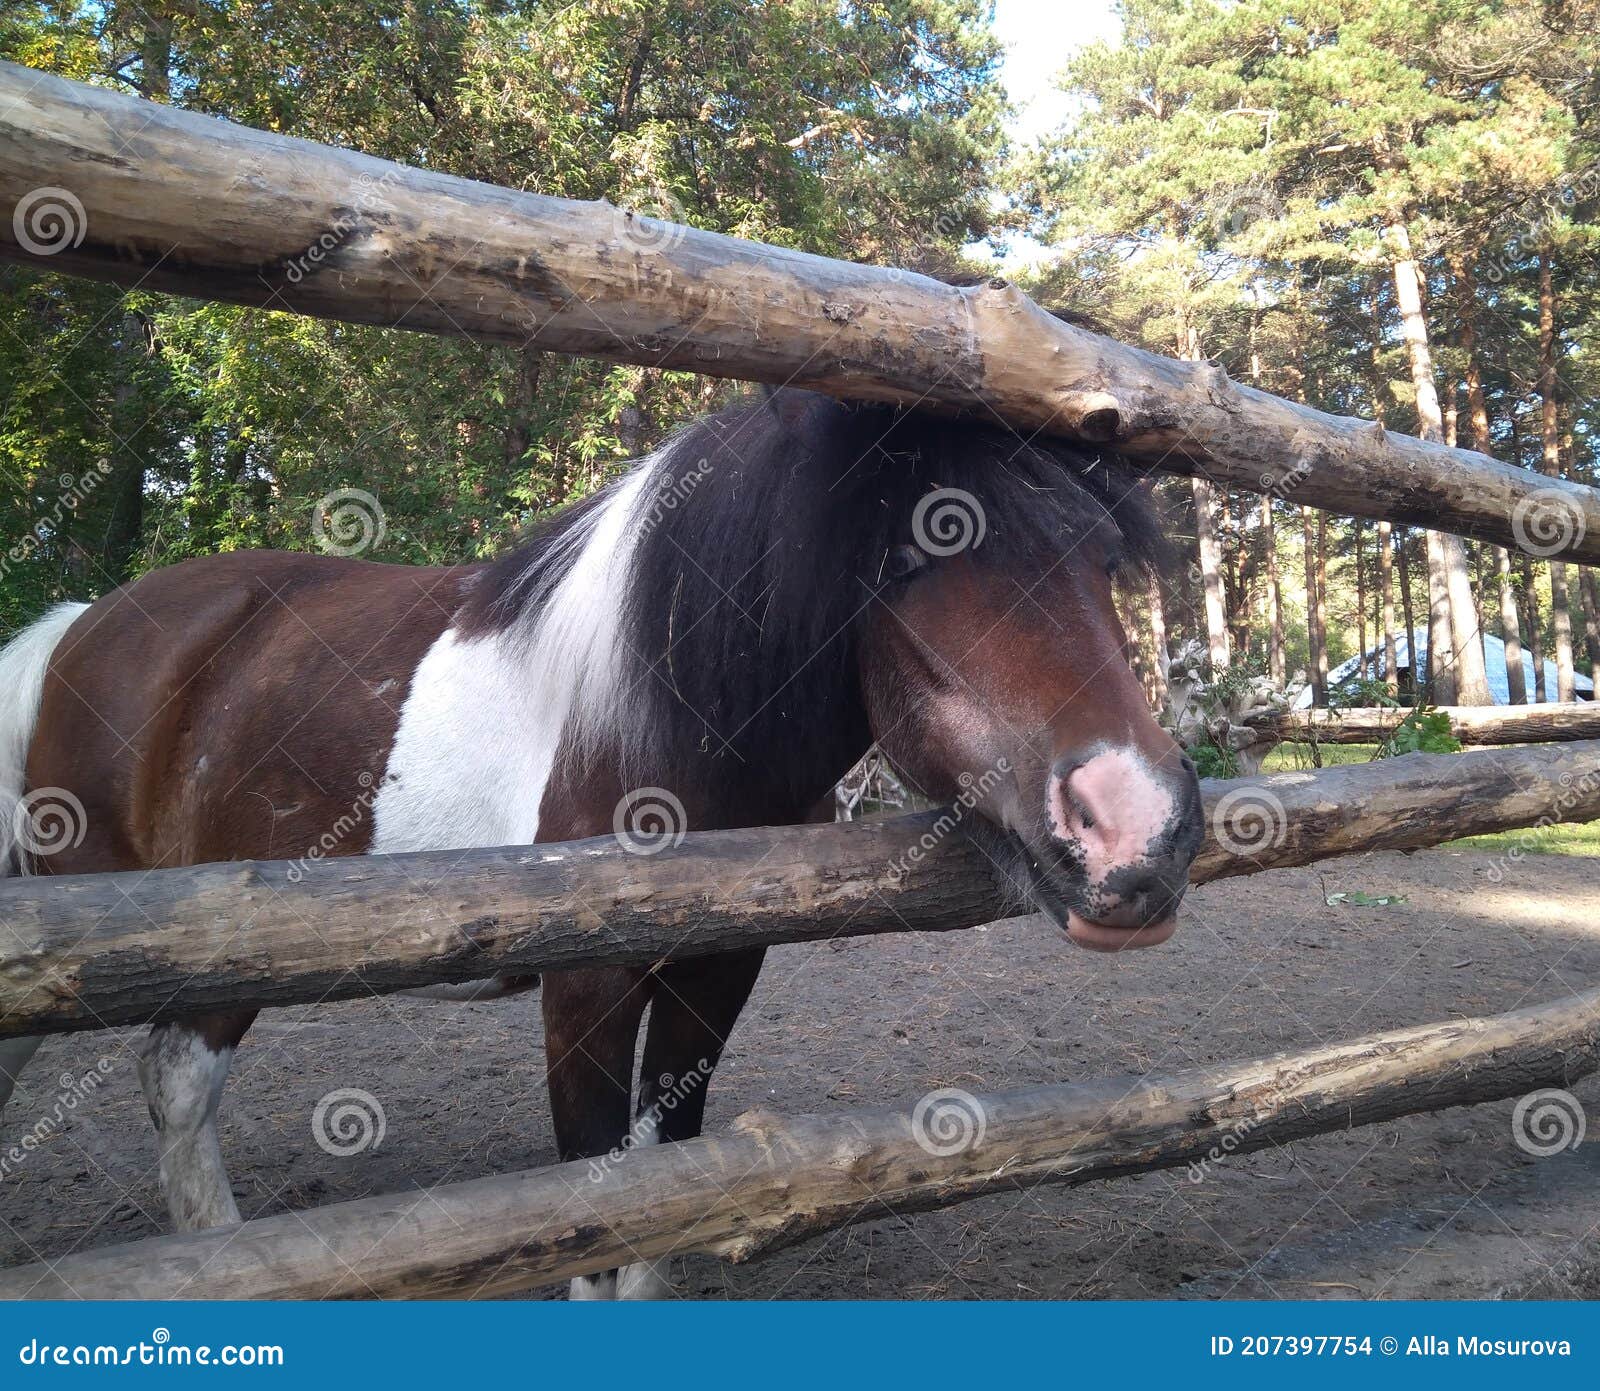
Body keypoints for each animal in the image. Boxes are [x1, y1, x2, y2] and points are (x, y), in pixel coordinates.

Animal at [0, 387, 1204, 1298]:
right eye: (915, 551)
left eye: (1102, 560)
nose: (1137, 825)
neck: (656, 716)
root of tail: (78, 628)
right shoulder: (584, 988)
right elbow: (593, 1207)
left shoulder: (716, 973)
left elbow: (667, 1181)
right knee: (178, 1082)